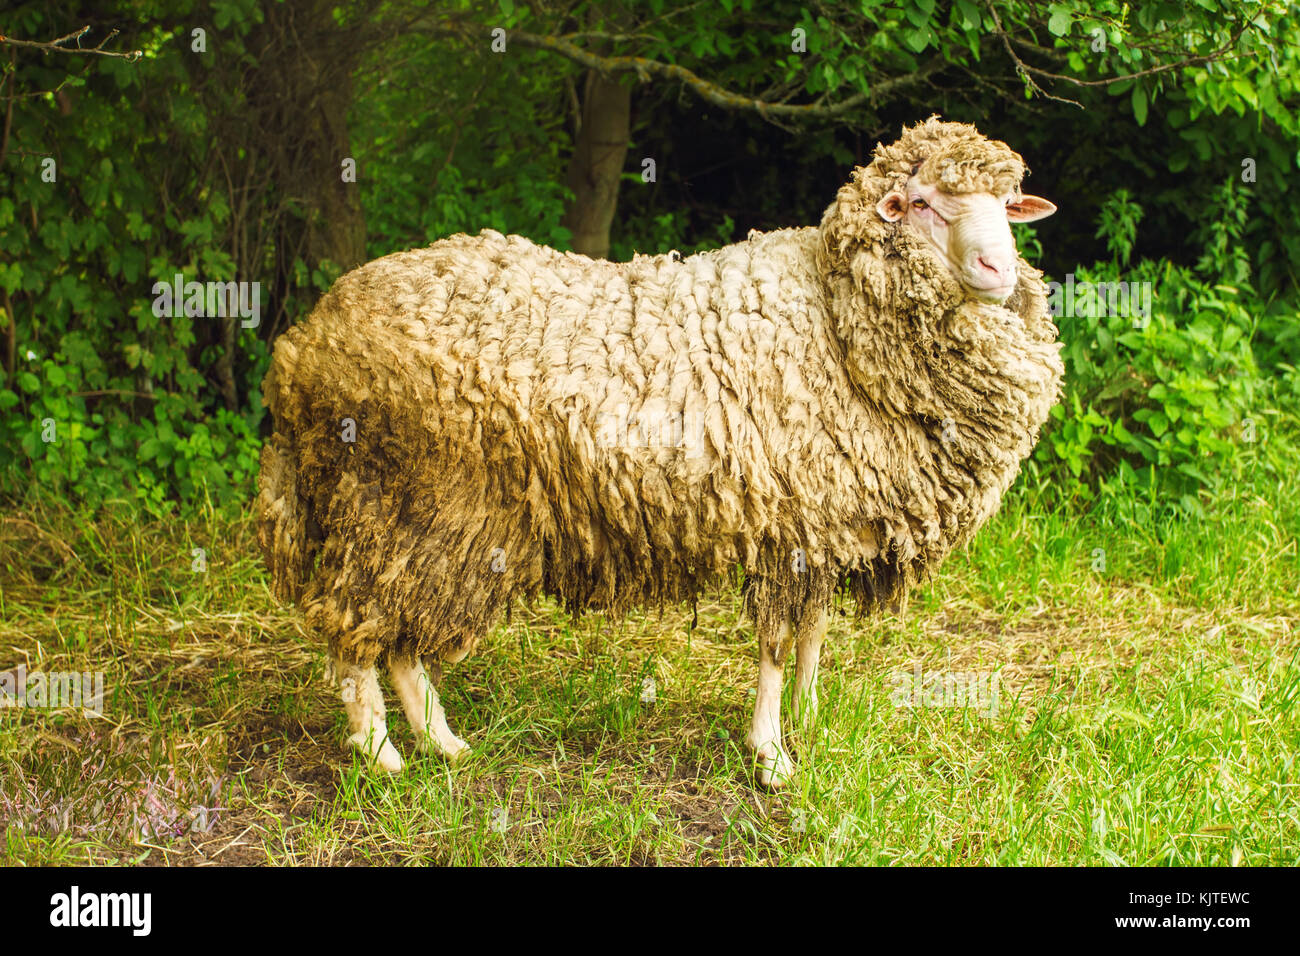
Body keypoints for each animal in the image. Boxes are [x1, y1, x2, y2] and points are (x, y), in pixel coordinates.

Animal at [257, 116, 1063, 786]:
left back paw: (440, 742)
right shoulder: (791, 527)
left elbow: (812, 635)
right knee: (354, 630)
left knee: (395, 638)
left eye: (1008, 204)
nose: (998, 271)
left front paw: (808, 719)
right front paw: (771, 756)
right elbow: (776, 646)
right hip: (405, 502)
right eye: (922, 203)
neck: (838, 325)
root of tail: (304, 346)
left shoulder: (826, 522)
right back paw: (381, 754)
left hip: (430, 526)